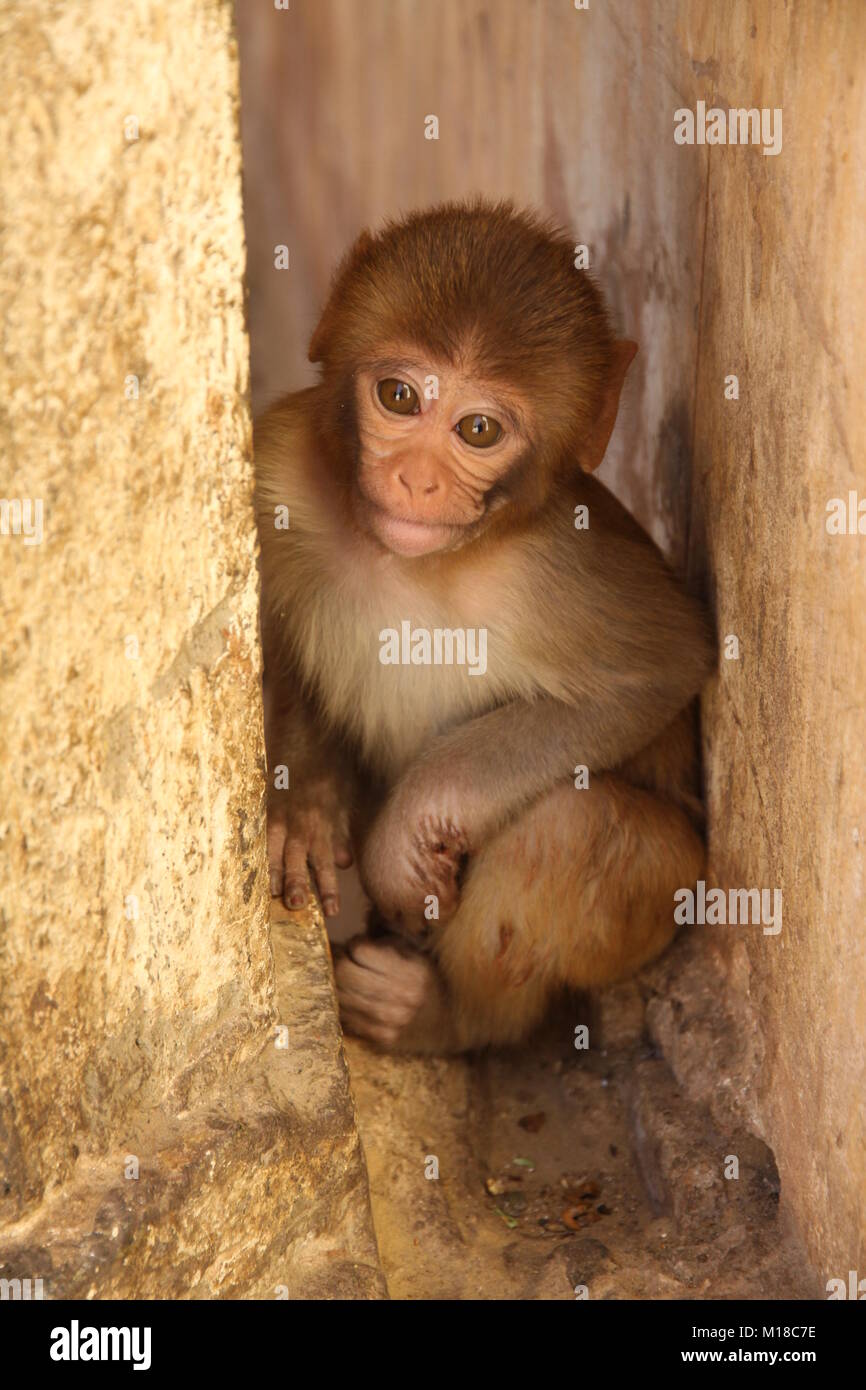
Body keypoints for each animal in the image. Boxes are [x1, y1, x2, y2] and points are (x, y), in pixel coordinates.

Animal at [254, 199, 715, 1054]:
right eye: (399, 397)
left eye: (477, 431)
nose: (415, 478)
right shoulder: (282, 460)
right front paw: (304, 808)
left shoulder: (557, 566)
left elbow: (659, 671)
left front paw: (402, 836)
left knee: (576, 825)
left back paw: (437, 1014)